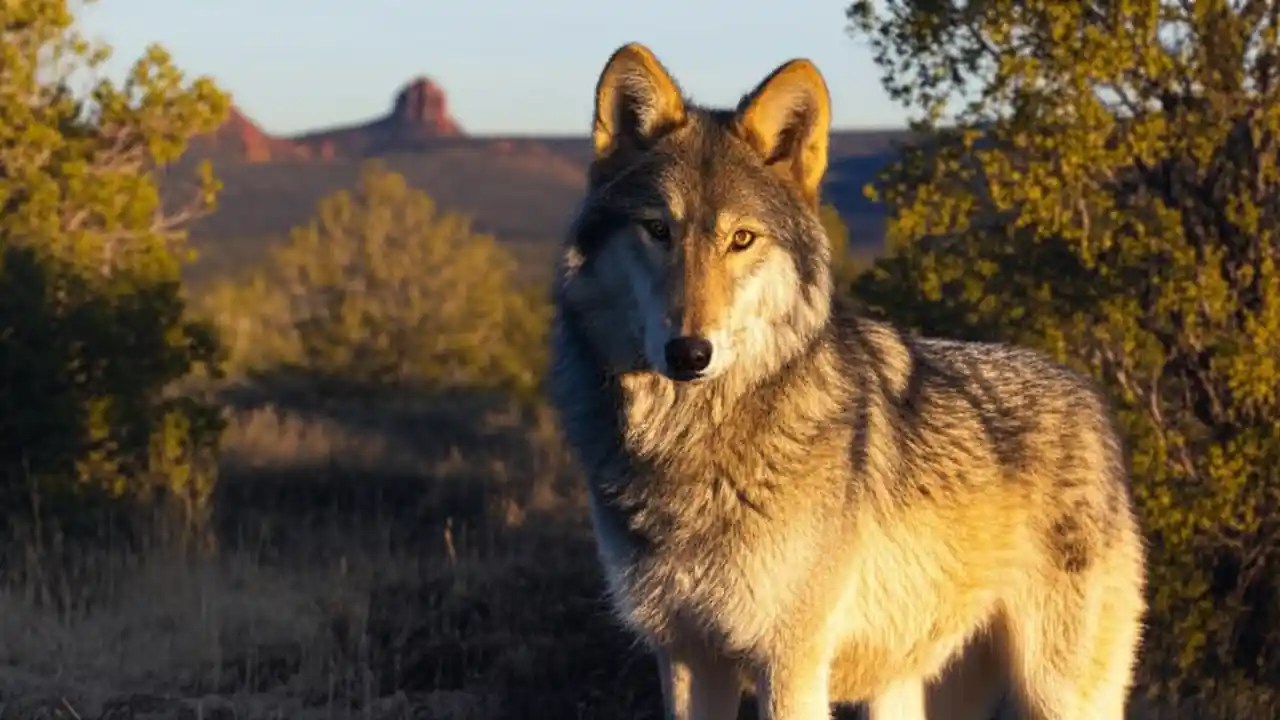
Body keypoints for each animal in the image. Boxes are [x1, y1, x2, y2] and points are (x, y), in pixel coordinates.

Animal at [547, 42, 1147, 720]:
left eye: (742, 239)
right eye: (658, 231)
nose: (690, 352)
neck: (689, 447)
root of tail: (1091, 397)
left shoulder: (789, 662)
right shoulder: (685, 657)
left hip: (1059, 694)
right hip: (912, 689)